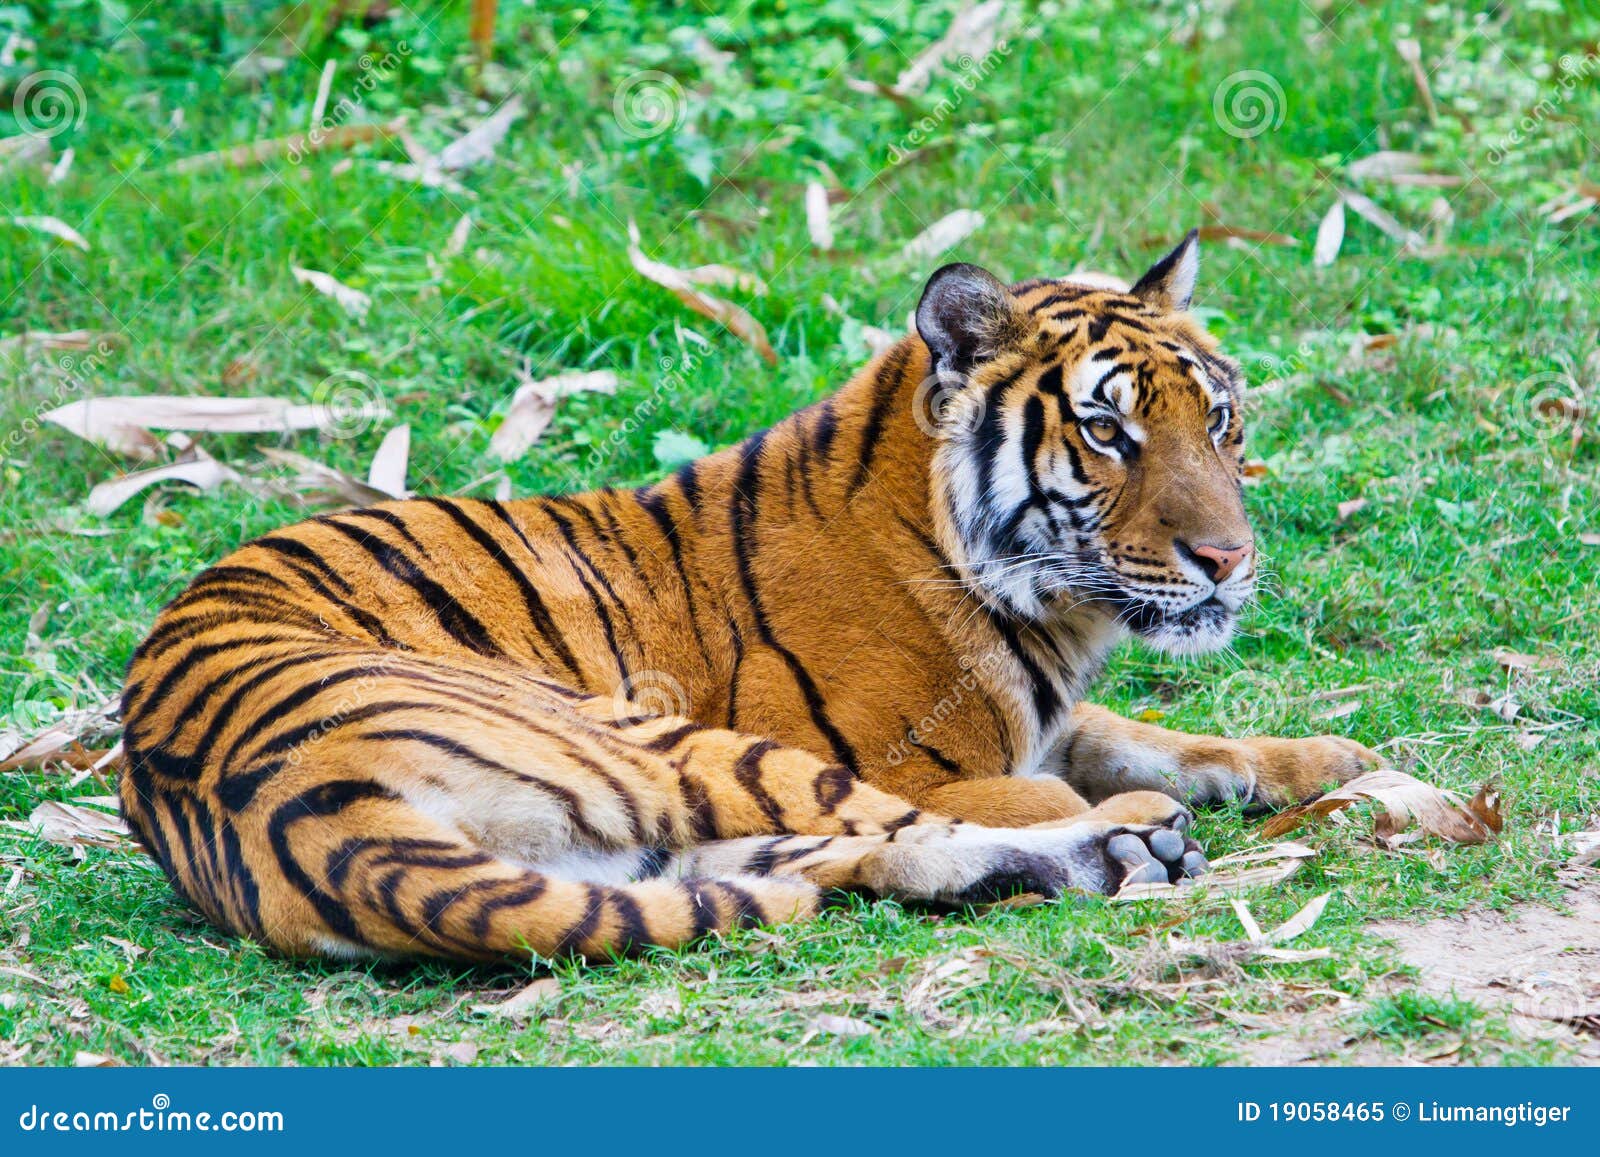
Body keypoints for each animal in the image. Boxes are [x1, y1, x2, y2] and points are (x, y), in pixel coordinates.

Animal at [117, 232, 1379, 962]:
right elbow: (1027, 781)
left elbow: (1150, 733)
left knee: (824, 861)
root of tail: (294, 804)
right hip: (666, 737)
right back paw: (1128, 844)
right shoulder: (914, 750)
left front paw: (1329, 760)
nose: (1229, 558)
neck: (1044, 609)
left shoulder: (1059, 710)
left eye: (1218, 419)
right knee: (891, 828)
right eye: (1108, 433)